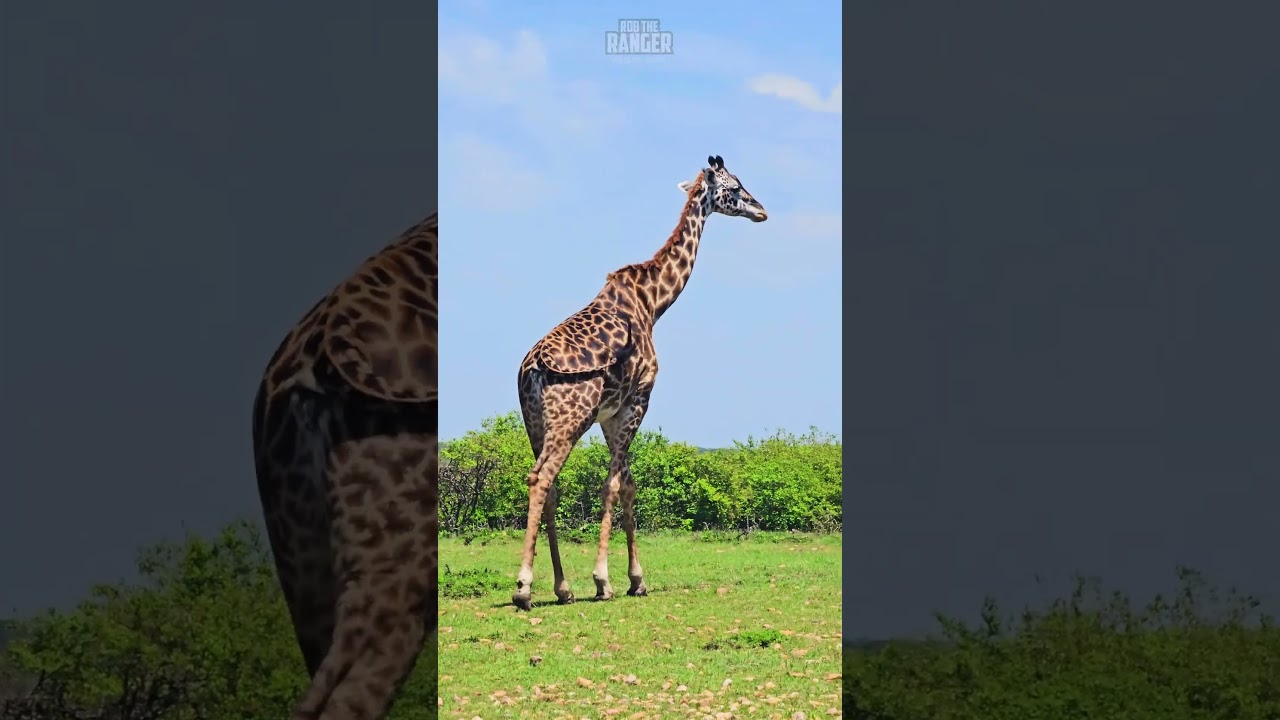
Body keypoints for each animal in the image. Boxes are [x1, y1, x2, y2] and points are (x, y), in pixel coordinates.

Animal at [511, 155, 768, 611]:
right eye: (735, 187)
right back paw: (524, 588)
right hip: (568, 419)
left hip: (534, 422)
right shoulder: (638, 401)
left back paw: (562, 588)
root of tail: (534, 366)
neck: (653, 303)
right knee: (541, 477)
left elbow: (628, 485)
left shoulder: (611, 415)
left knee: (550, 484)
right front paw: (605, 580)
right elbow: (614, 485)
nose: (761, 210)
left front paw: (635, 579)